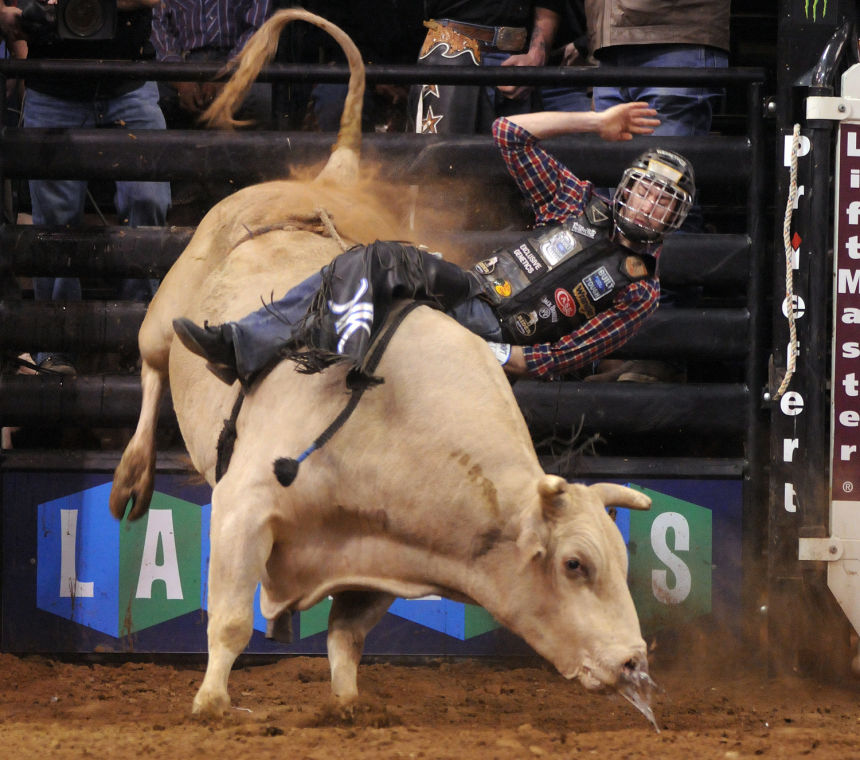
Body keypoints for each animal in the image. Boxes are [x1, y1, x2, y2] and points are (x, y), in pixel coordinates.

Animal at [109, 9, 656, 723]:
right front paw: (210, 703)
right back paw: (134, 475)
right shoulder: (243, 504)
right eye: (574, 564)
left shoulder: (379, 555)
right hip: (164, 312)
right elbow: (227, 620)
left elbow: (347, 633)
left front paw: (345, 704)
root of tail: (327, 178)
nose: (633, 661)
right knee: (151, 370)